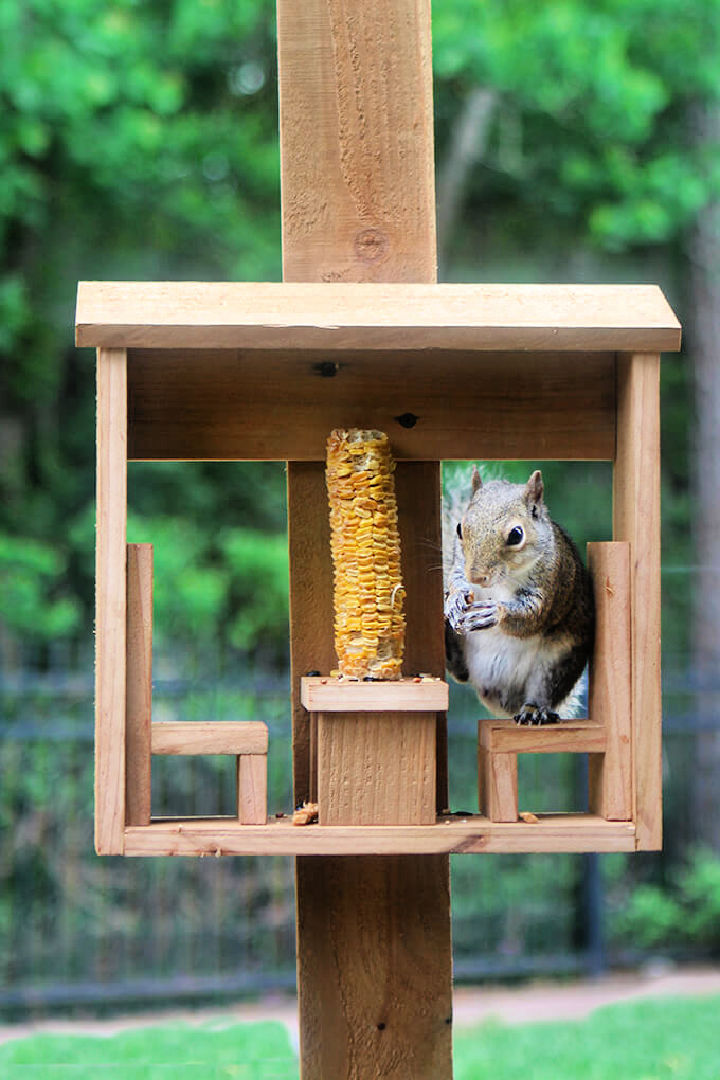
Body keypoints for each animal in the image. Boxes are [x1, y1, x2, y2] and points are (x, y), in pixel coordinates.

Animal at [444, 468, 594, 725]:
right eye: (459, 529)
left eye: (516, 534)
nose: (476, 577)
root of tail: (502, 701)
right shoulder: (459, 565)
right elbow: (455, 581)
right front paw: (453, 600)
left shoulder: (550, 582)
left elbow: (530, 616)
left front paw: (495, 612)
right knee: (458, 670)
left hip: (557, 661)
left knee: (543, 690)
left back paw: (533, 710)